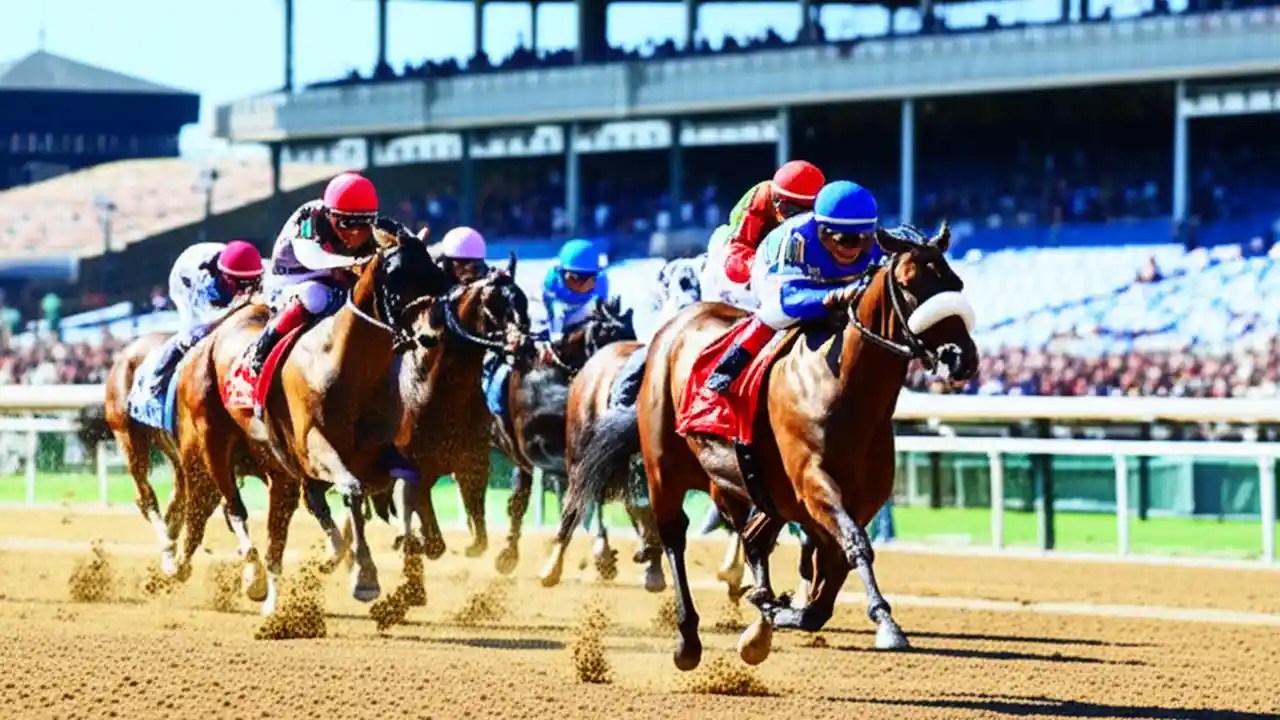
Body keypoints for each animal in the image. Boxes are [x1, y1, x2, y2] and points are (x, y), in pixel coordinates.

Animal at [173, 235, 456, 613]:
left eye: (434, 271)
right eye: (396, 275)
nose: (430, 335)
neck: (346, 364)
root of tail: (210, 337)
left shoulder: (377, 452)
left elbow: (404, 483)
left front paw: (416, 550)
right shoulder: (313, 446)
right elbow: (351, 490)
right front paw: (365, 576)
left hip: (274, 464)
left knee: (286, 518)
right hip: (211, 442)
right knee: (232, 507)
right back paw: (250, 575)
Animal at [566, 223, 978, 670]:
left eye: (955, 281)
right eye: (906, 284)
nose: (961, 358)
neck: (846, 390)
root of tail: (670, 330)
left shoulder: (853, 501)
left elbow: (823, 589)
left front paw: (778, 611)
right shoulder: (813, 483)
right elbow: (854, 545)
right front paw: (886, 623)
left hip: (747, 486)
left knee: (753, 536)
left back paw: (758, 613)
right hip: (664, 466)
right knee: (674, 535)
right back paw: (687, 637)